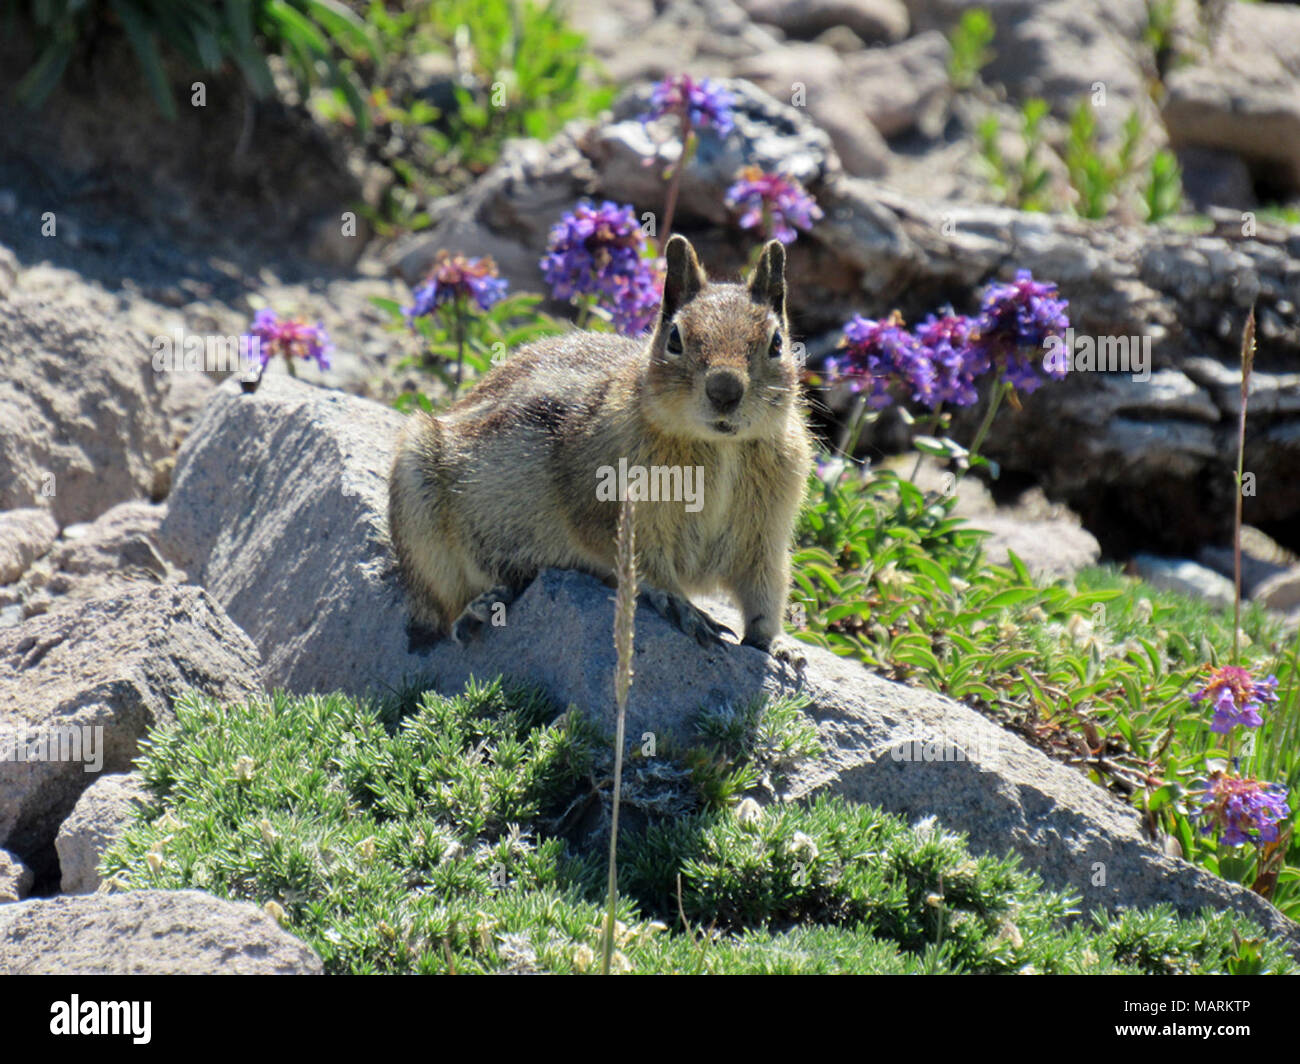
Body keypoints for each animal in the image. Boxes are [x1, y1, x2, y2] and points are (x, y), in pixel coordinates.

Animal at [387, 234, 814, 661]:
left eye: (777, 343)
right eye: (675, 338)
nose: (724, 390)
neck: (721, 447)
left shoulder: (768, 536)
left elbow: (767, 589)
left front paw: (777, 643)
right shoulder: (612, 514)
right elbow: (640, 565)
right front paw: (682, 605)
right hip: (418, 505)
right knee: (442, 609)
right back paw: (479, 607)